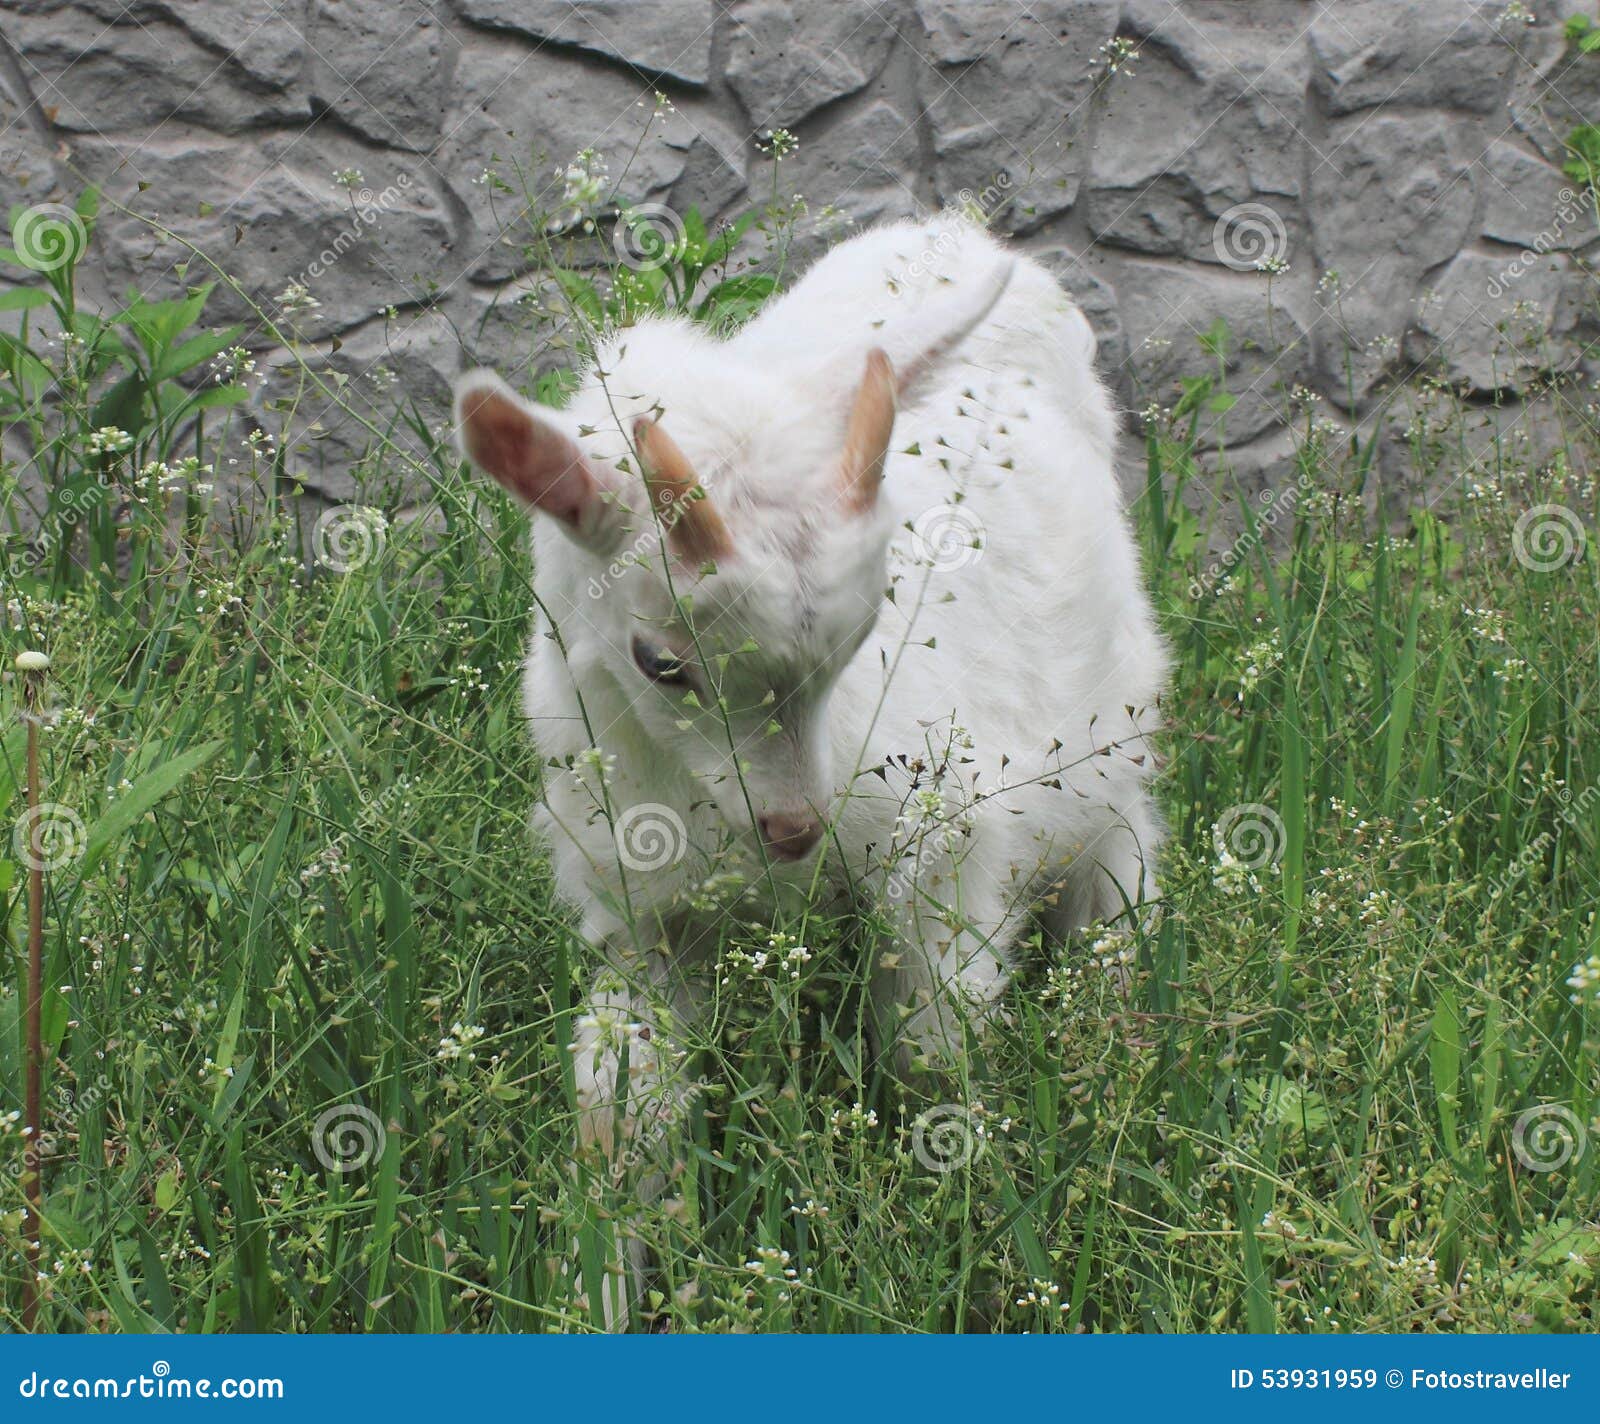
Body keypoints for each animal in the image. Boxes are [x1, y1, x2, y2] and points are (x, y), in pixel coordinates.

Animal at [454, 214, 1167, 1326]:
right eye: (660, 662)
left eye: (866, 634)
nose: (794, 829)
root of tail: (956, 229)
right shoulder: (638, 910)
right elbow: (620, 1111)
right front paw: (590, 1292)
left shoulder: (945, 845)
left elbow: (935, 1052)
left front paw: (958, 1251)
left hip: (1114, 746)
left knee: (1117, 900)